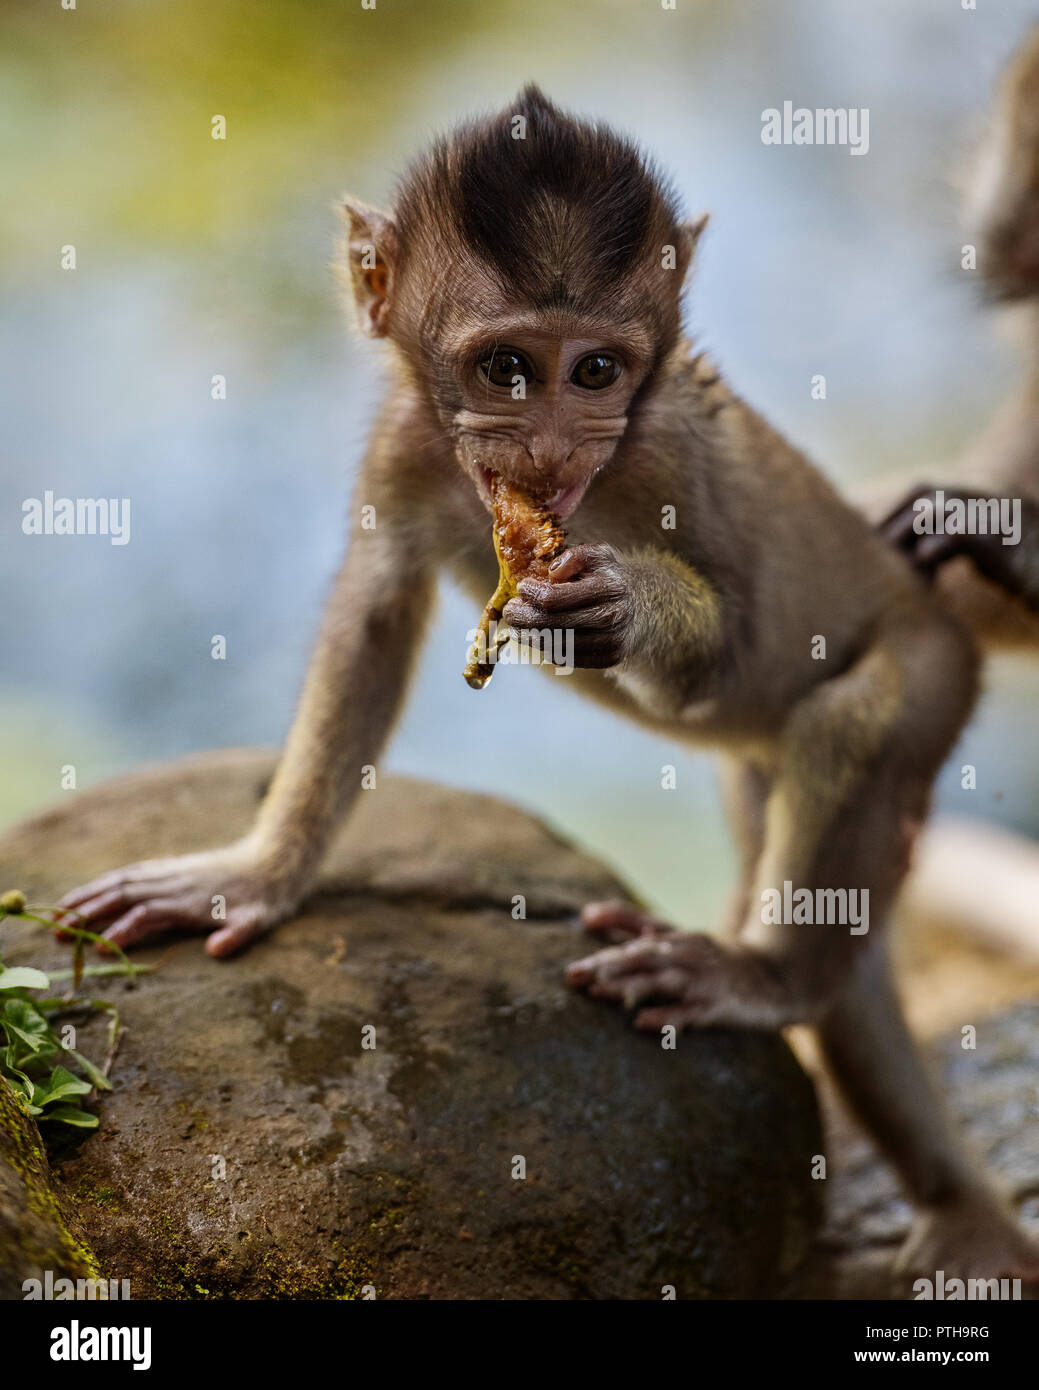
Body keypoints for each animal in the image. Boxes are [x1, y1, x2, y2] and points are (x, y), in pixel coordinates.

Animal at [55, 87, 1039, 1281]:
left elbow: (737, 637)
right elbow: (373, 613)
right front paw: (252, 875)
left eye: (596, 373)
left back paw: (767, 978)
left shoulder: (666, 449)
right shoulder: (405, 442)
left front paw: (617, 606)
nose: (553, 446)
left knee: (858, 717)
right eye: (508, 370)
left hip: (935, 665)